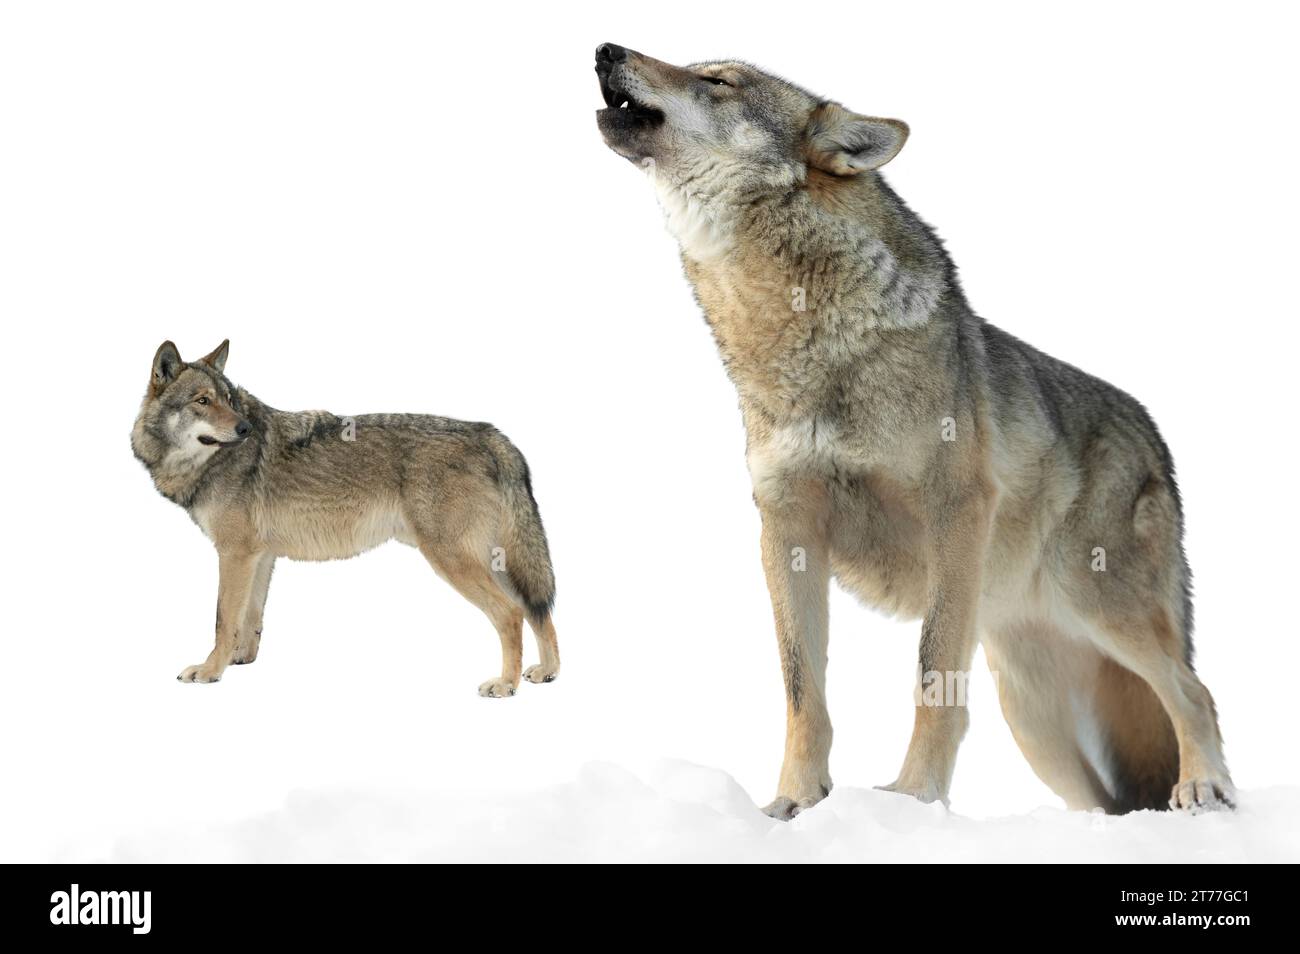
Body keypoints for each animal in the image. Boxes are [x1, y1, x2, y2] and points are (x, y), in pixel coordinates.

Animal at [130, 340, 560, 696]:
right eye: (203, 401)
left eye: (229, 400)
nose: (245, 428)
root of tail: (494, 436)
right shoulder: (258, 556)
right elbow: (248, 618)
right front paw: (240, 659)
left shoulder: (234, 553)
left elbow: (222, 619)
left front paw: (210, 670)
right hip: (497, 561)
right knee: (536, 609)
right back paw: (547, 672)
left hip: (454, 560)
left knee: (512, 613)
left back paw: (505, 684)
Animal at [595, 43, 1233, 816]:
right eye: (698, 69)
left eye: (717, 81)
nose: (605, 50)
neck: (804, 340)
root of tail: (1155, 436)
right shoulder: (786, 527)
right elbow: (802, 689)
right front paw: (794, 805)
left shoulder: (955, 509)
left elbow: (933, 675)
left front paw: (913, 797)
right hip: (1034, 720)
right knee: (1106, 797)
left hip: (1102, 609)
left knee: (1195, 692)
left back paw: (1204, 784)